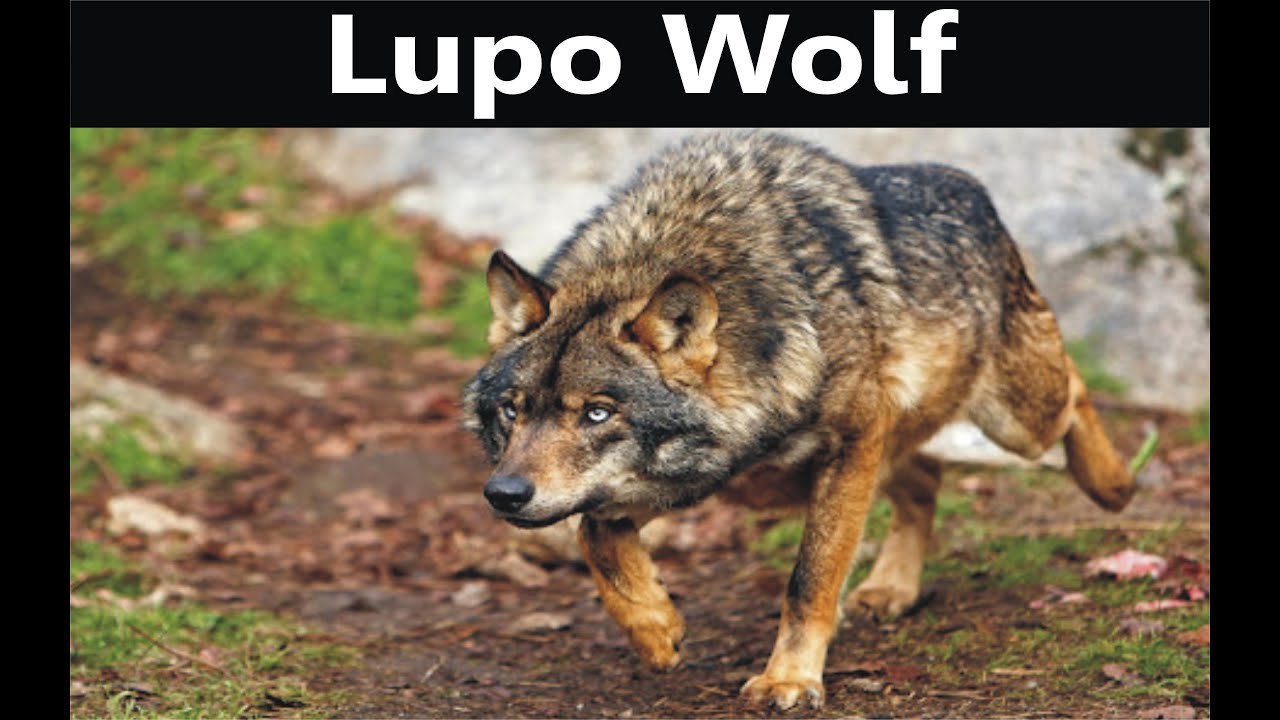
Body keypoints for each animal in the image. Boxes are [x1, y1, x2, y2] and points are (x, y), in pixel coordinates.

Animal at [462, 132, 1135, 710]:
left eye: (598, 412)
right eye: (512, 410)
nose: (504, 494)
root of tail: (967, 184)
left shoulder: (850, 445)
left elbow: (809, 579)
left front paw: (789, 680)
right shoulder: (699, 475)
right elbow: (596, 536)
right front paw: (657, 630)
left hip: (1014, 419)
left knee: (1075, 391)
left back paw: (1114, 484)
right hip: (901, 440)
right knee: (924, 481)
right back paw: (893, 588)